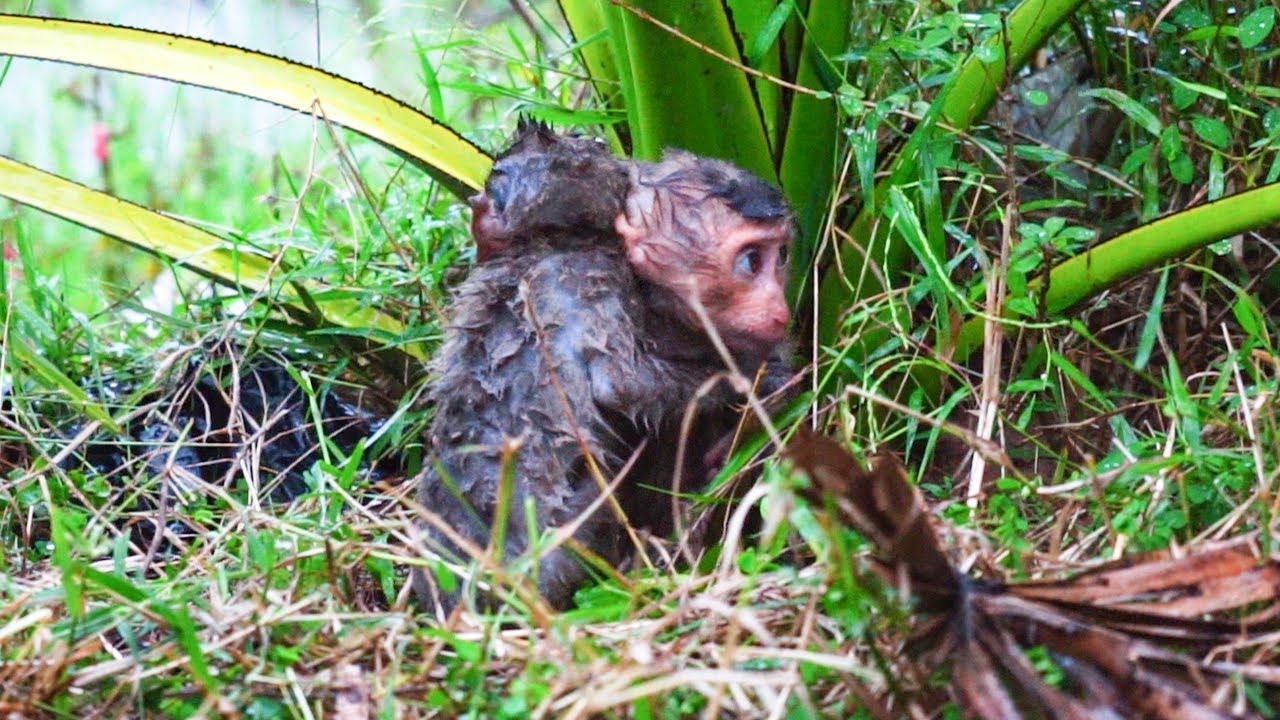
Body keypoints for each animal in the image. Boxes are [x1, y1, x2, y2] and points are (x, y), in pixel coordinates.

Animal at [414, 121, 794, 612]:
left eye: (781, 257)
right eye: (752, 261)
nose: (780, 309)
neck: (554, 243)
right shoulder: (589, 276)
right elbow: (620, 385)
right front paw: (753, 377)